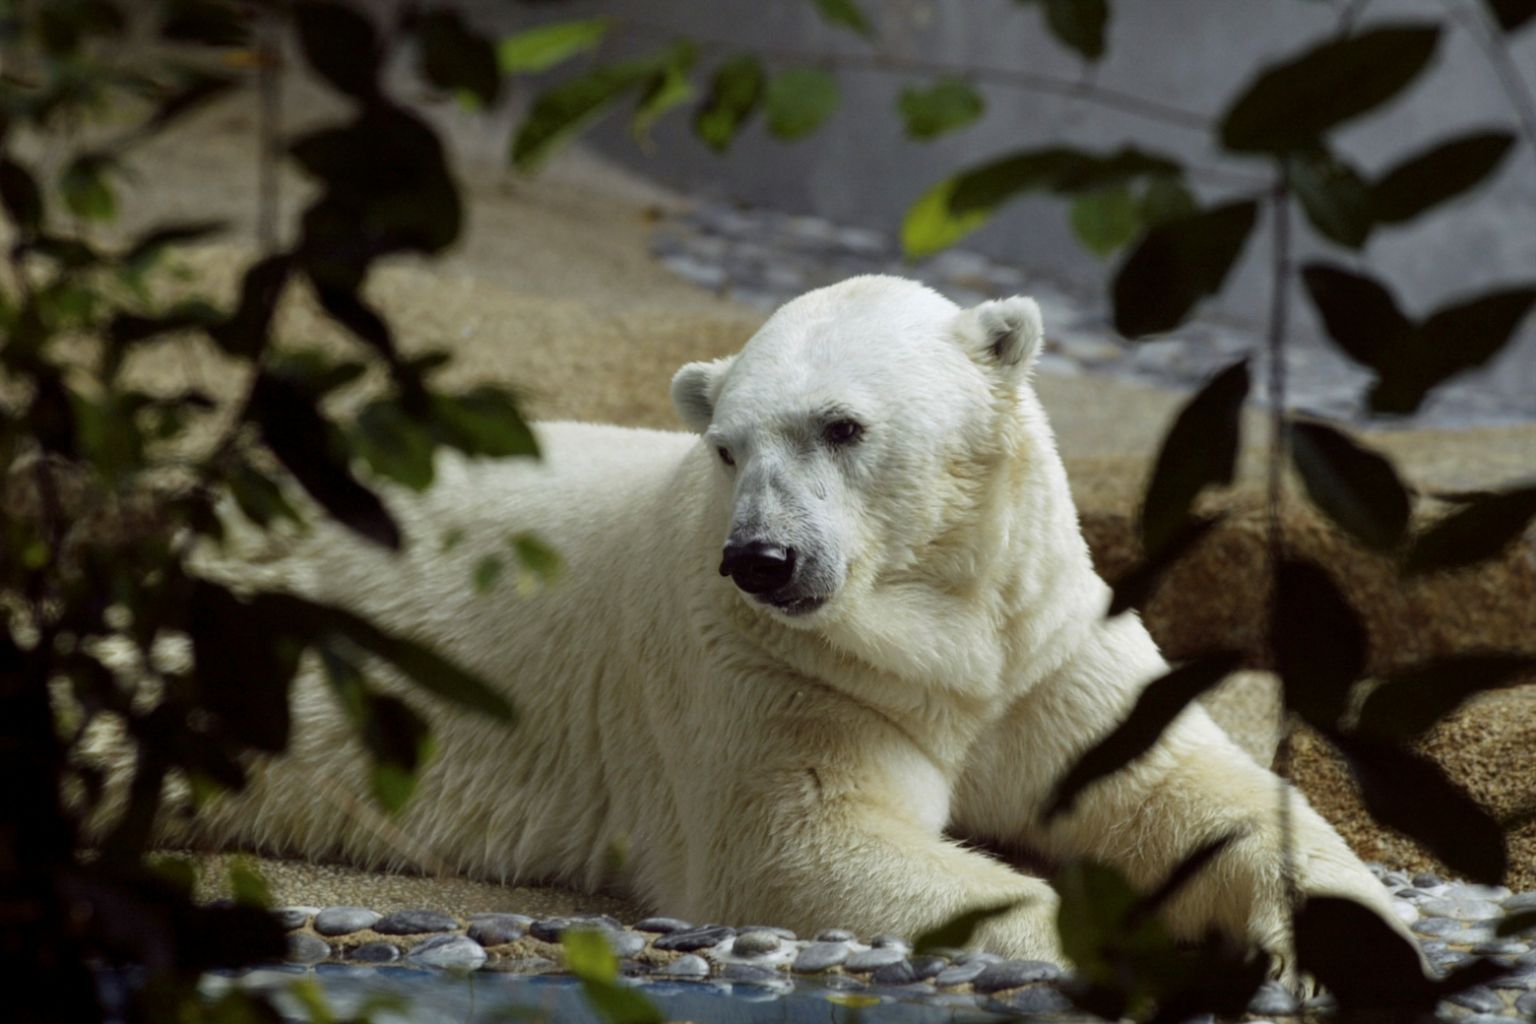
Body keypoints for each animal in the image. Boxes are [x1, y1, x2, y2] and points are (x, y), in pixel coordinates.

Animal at [184, 274, 1406, 982]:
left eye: (842, 425)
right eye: (727, 447)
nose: (760, 558)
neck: (943, 629)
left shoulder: (1047, 645)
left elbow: (1182, 789)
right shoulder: (763, 664)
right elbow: (803, 840)